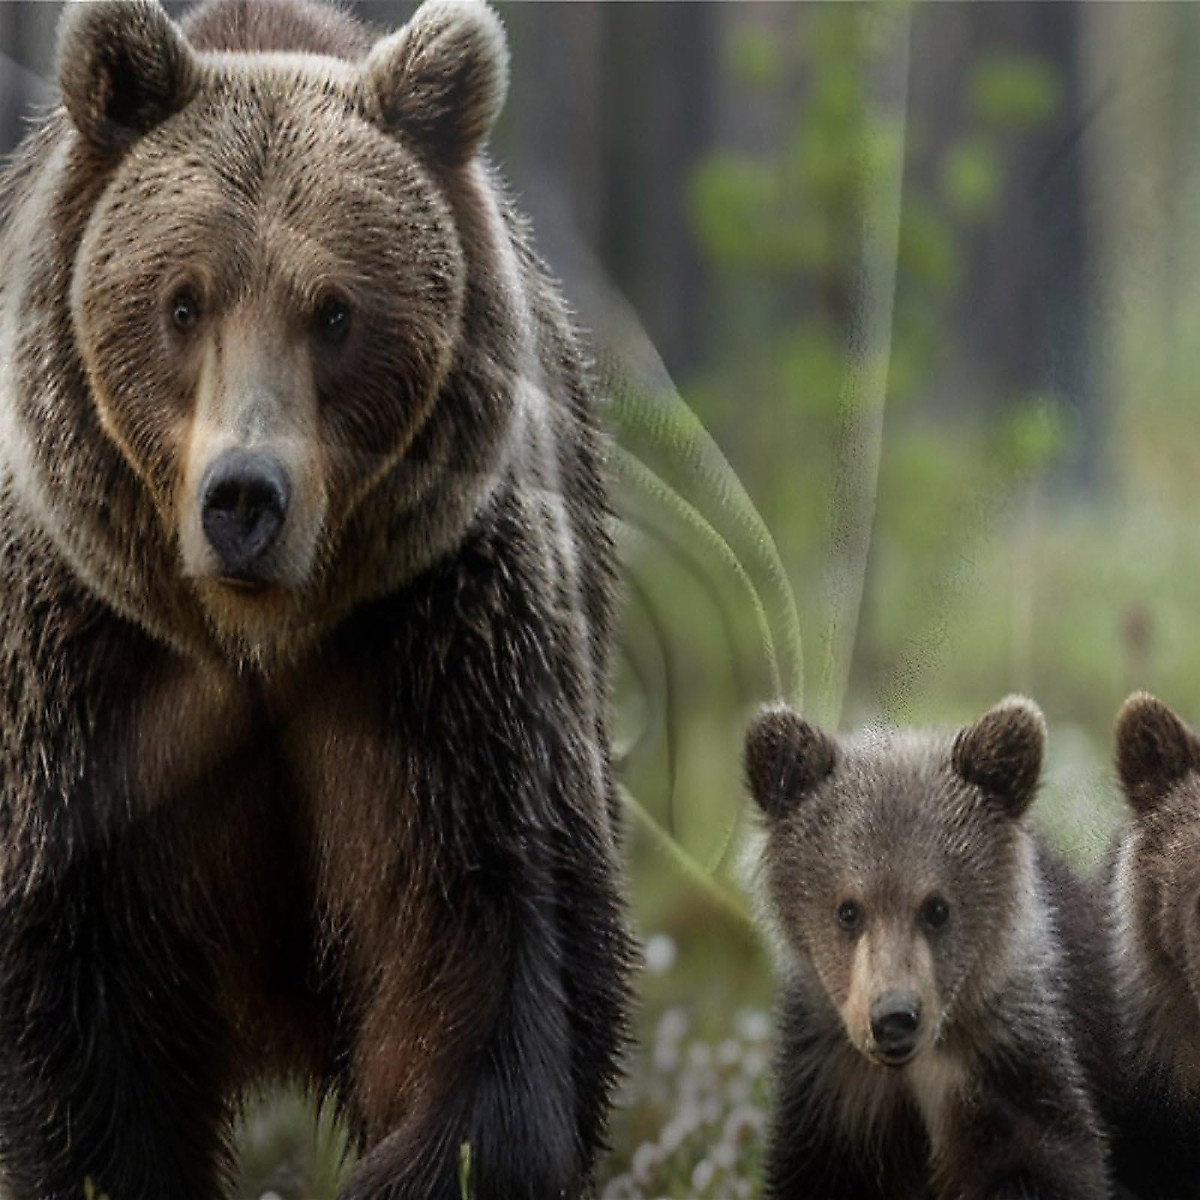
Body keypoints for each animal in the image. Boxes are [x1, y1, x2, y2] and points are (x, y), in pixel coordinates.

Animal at [0, 1, 633, 1198]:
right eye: (182, 299)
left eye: (335, 311)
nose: (244, 498)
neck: (255, 636)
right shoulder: (80, 665)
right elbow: (71, 1021)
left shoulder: (436, 652)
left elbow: (484, 957)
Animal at [743, 697, 1113, 1200]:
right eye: (848, 910)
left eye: (937, 907)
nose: (894, 1018)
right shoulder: (829, 1093)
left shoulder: (1012, 1069)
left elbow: (1045, 1163)